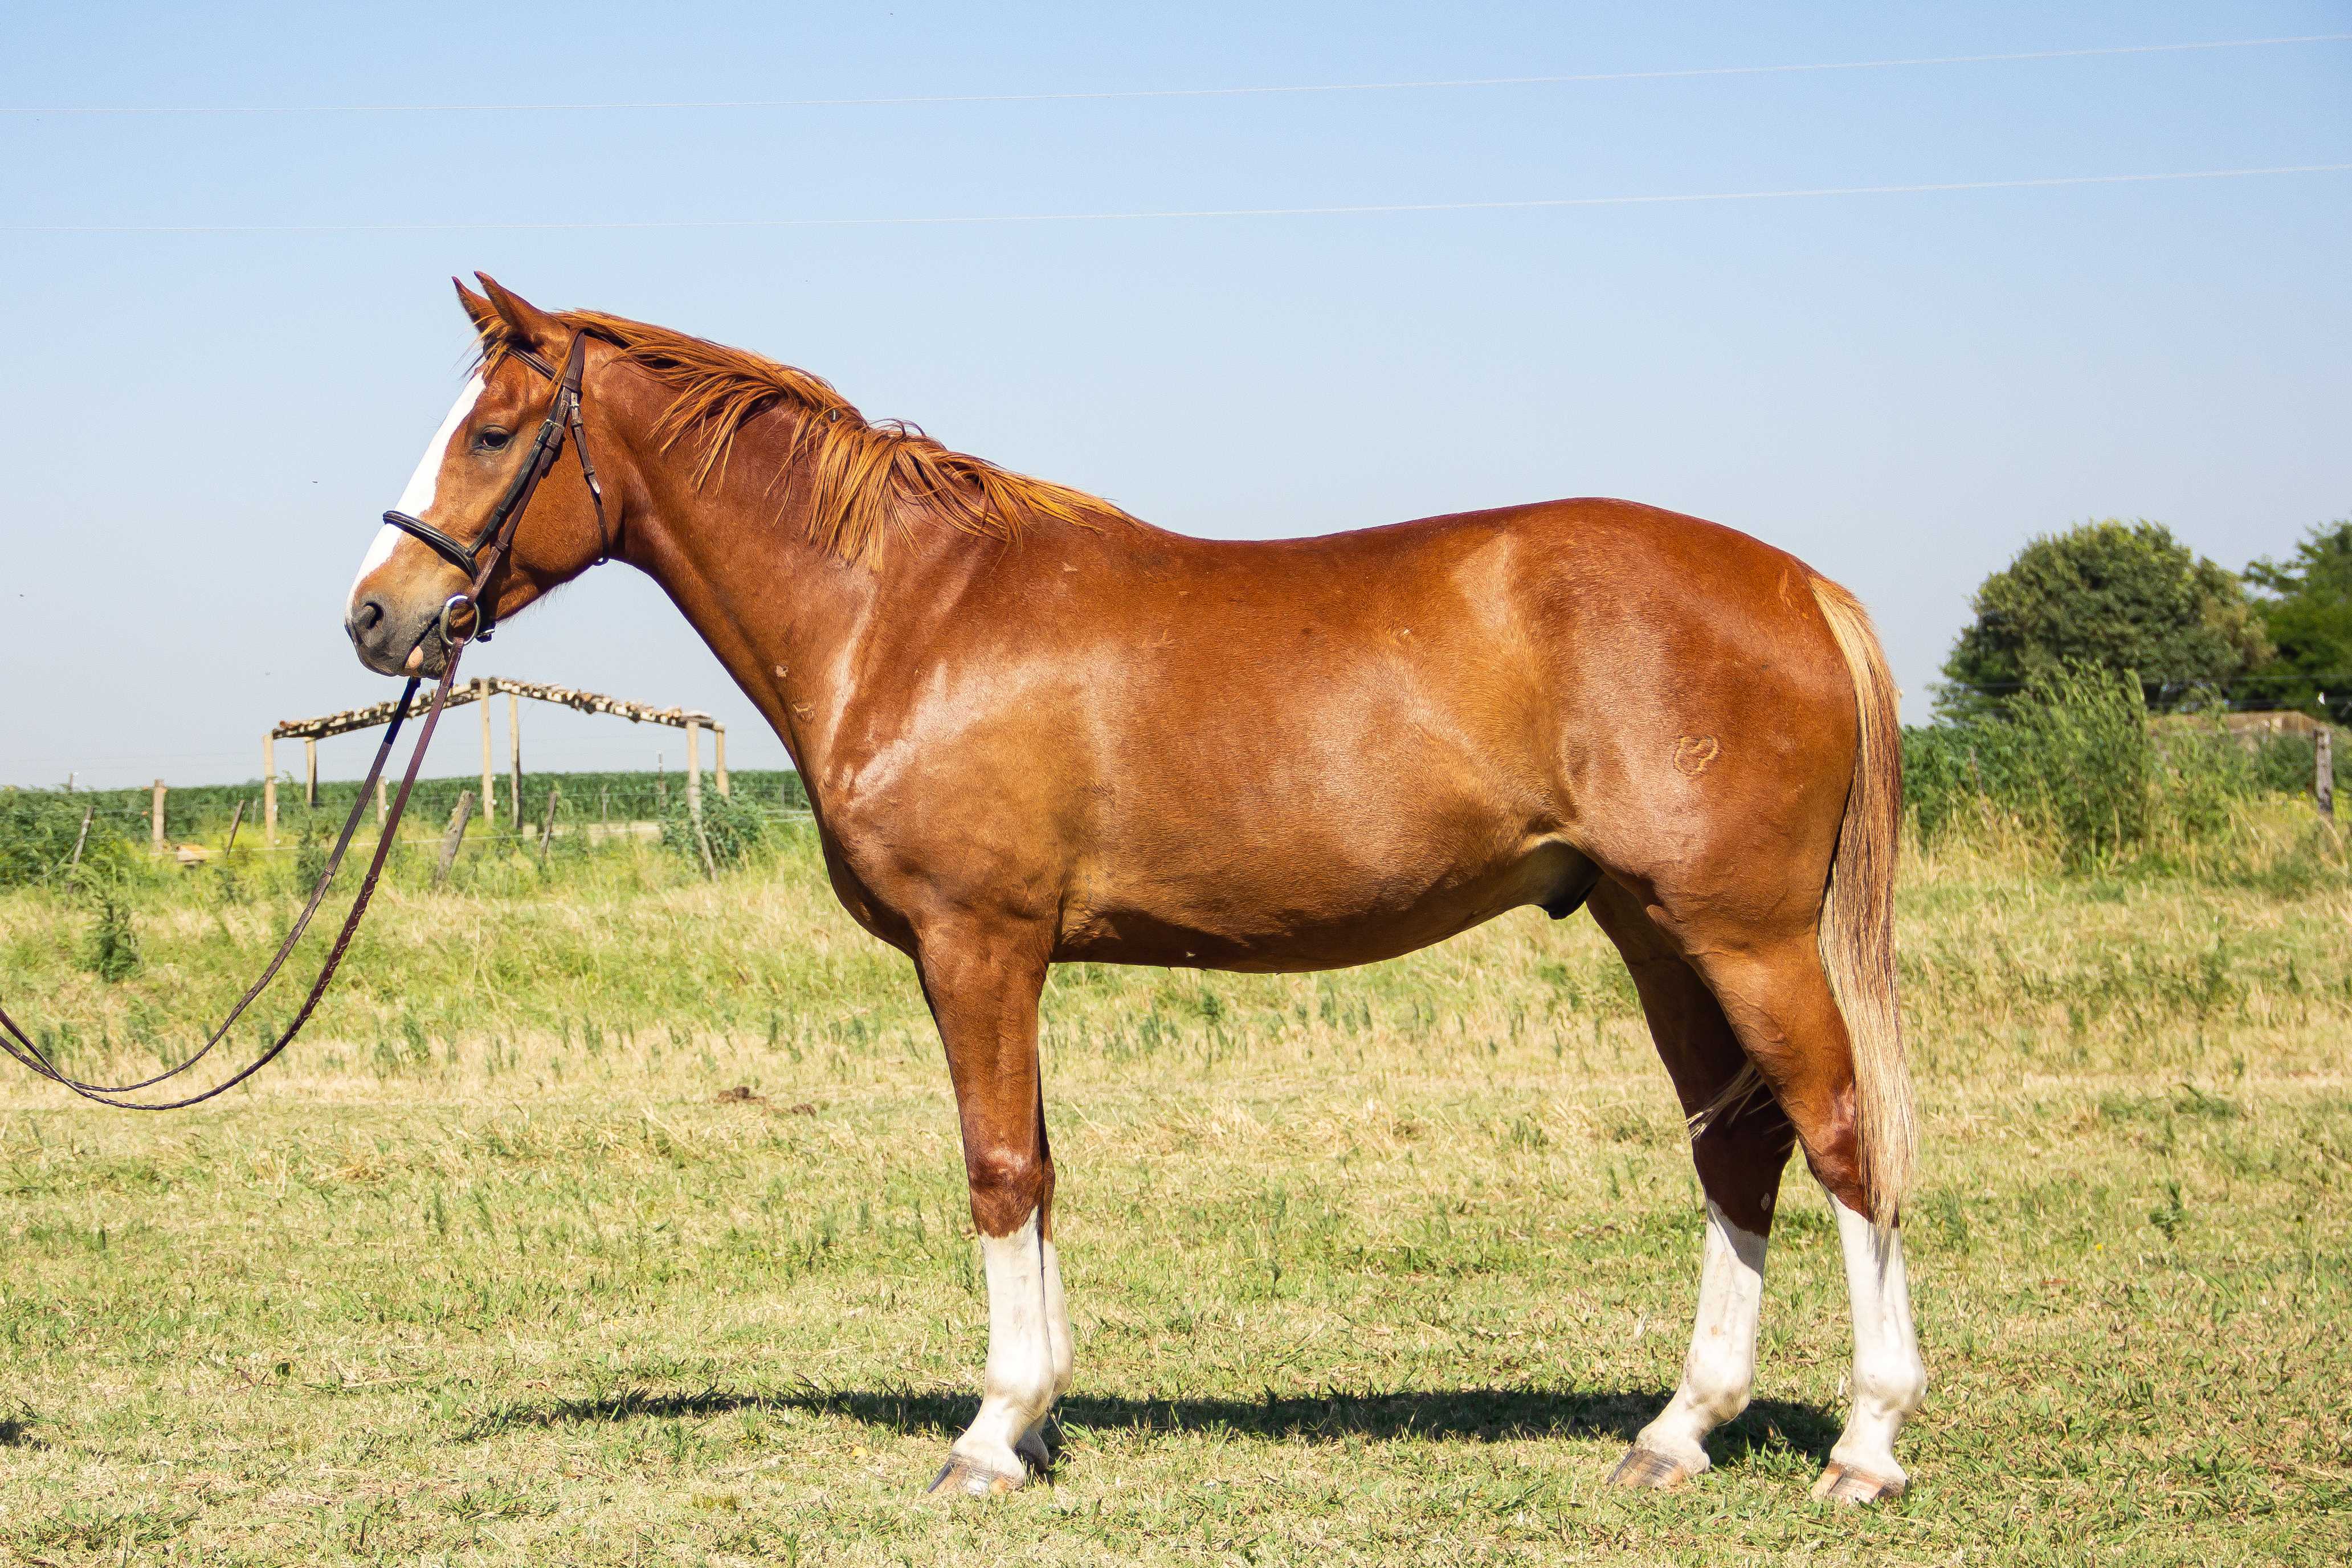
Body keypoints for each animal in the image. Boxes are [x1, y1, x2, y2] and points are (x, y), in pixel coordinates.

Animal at [346, 275, 1926, 1504]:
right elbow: (1039, 1168)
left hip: (1745, 937)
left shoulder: (973, 945)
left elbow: (996, 1171)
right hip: (1654, 933)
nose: (377, 617)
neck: (907, 614)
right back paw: (1678, 1430)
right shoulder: (1008, 958)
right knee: (1738, 1149)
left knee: (1843, 1141)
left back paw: (1865, 1443)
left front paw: (988, 1437)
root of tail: (1798, 586)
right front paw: (1039, 1419)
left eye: (494, 432)